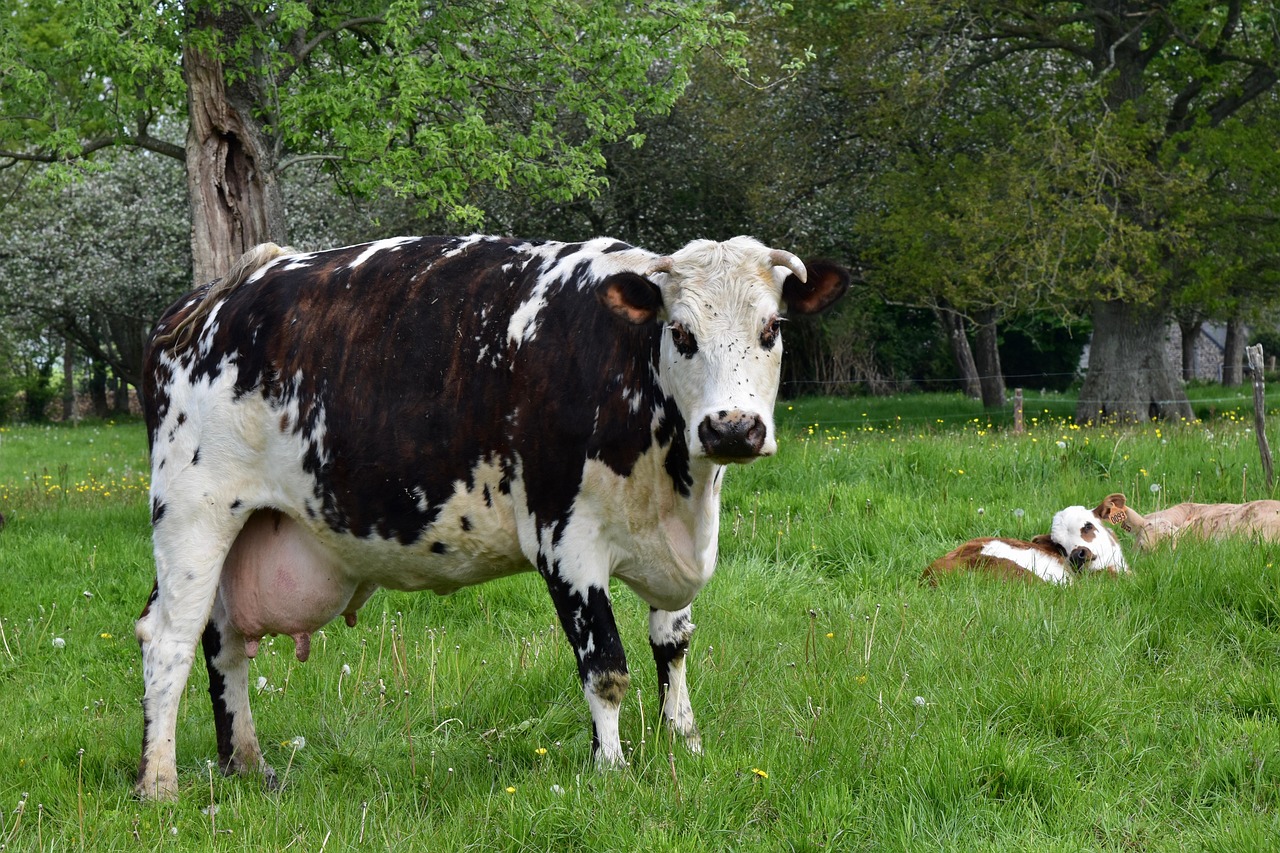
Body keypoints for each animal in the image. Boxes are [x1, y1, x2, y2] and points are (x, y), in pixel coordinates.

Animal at [133, 234, 849, 800]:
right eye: (682, 333)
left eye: (771, 329)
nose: (732, 427)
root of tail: (214, 296)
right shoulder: (566, 541)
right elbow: (606, 667)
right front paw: (611, 769)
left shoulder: (674, 543)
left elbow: (672, 645)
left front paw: (685, 740)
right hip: (192, 512)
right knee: (170, 636)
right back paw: (160, 784)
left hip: (245, 527)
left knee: (224, 640)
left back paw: (247, 766)